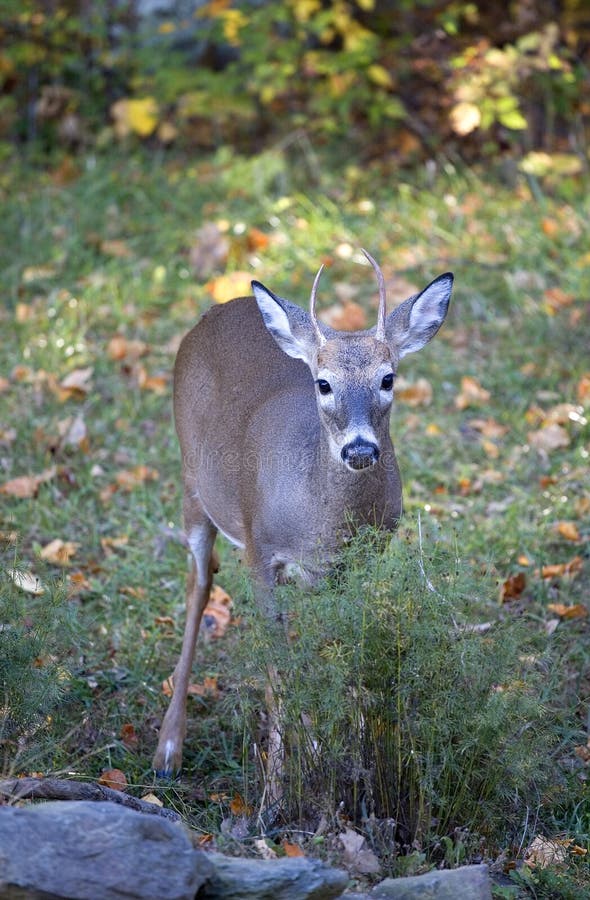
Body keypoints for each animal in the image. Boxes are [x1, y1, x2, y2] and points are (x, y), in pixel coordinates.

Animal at [152, 250, 453, 793]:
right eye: (324, 382)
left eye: (388, 378)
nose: (360, 449)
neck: (324, 526)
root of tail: (219, 307)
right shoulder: (259, 549)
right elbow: (277, 664)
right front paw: (281, 779)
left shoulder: (358, 564)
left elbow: (344, 648)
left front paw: (352, 759)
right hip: (191, 484)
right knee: (199, 583)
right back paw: (168, 750)